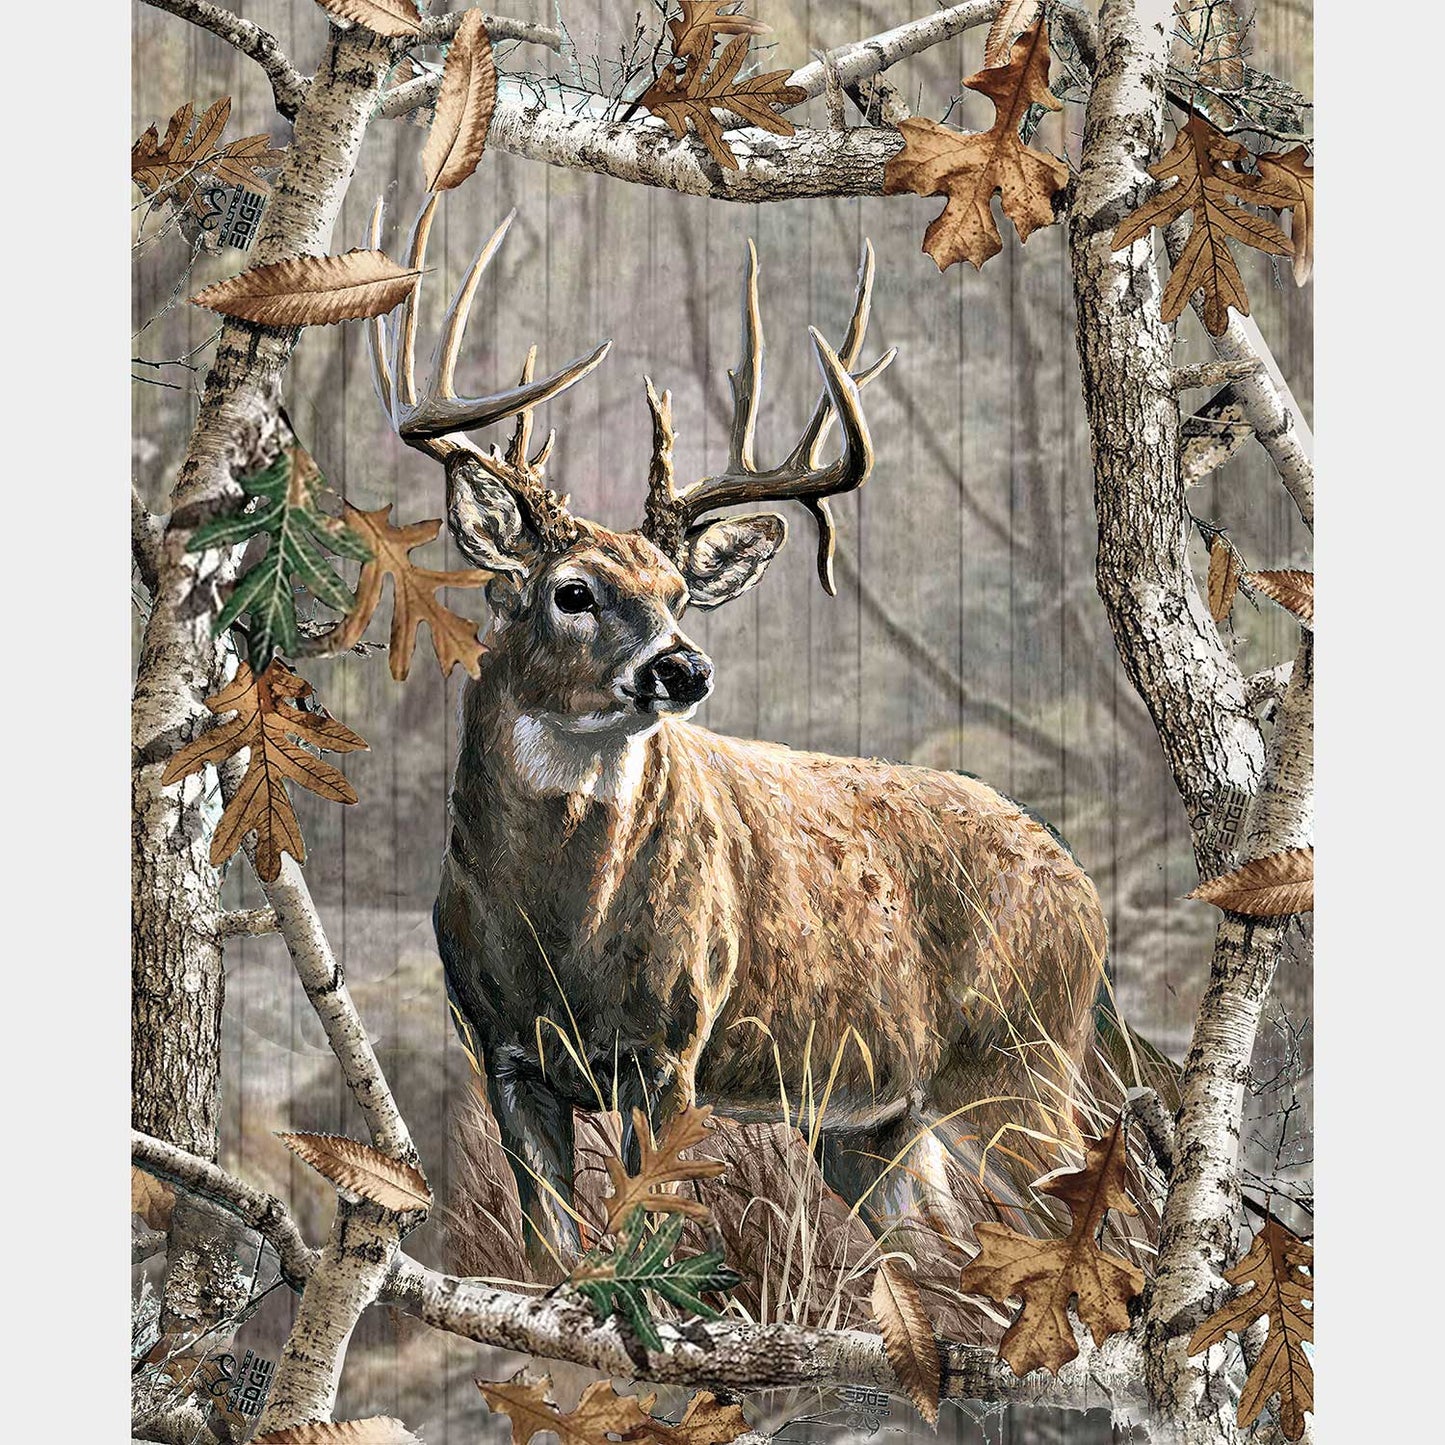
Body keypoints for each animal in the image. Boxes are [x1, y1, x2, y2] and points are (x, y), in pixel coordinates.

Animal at [368, 197, 1113, 1263]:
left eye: (679, 594)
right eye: (571, 591)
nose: (684, 667)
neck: (557, 933)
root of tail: (1081, 884)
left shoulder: (673, 1045)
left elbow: (651, 1237)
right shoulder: (503, 1055)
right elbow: (555, 1258)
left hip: (1021, 1058)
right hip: (878, 1122)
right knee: (939, 1252)